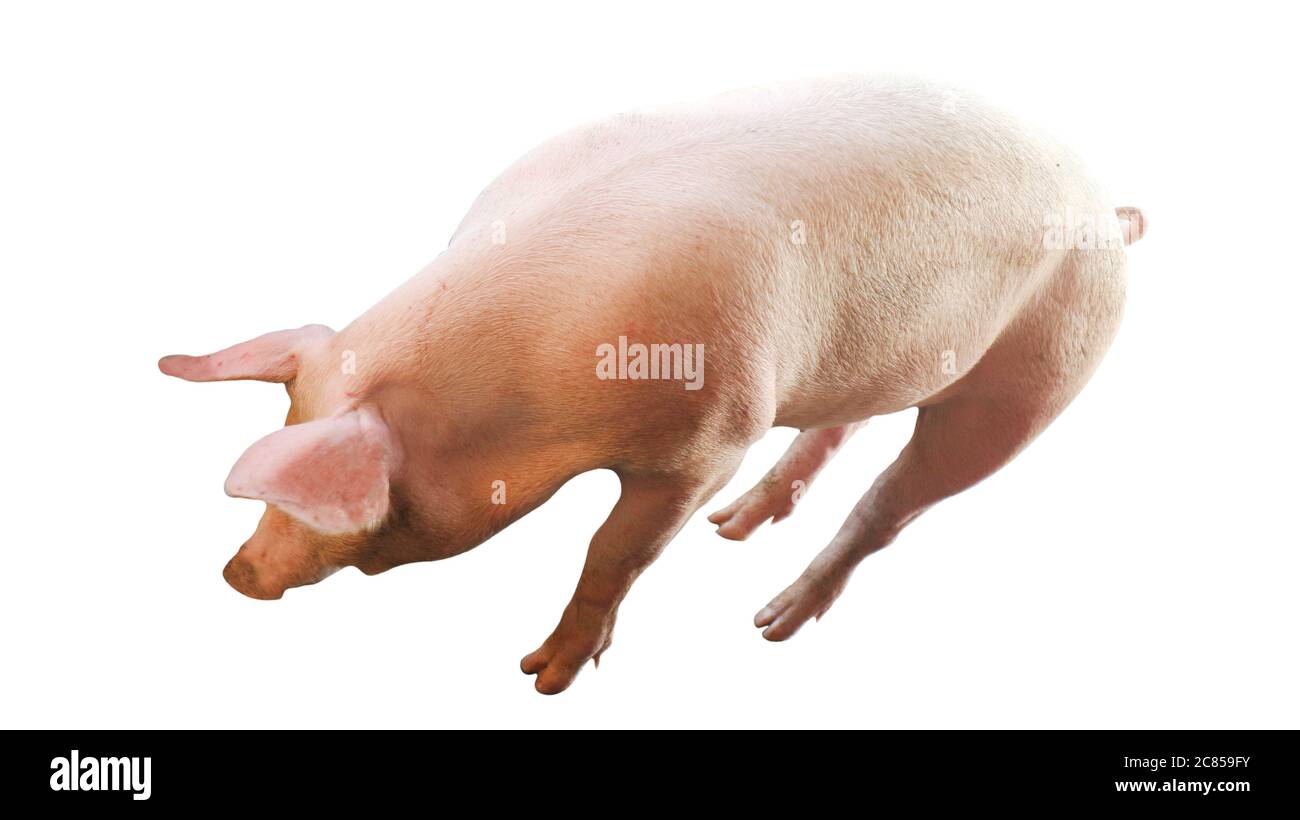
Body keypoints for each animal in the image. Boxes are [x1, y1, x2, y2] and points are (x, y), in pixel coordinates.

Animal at [160, 75, 1145, 694]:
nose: (235, 572)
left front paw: (542, 679)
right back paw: (736, 531)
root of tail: (1109, 208)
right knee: (839, 428)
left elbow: (613, 551)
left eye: (347, 502)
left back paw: (769, 624)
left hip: (1043, 367)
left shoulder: (713, 435)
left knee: (895, 503)